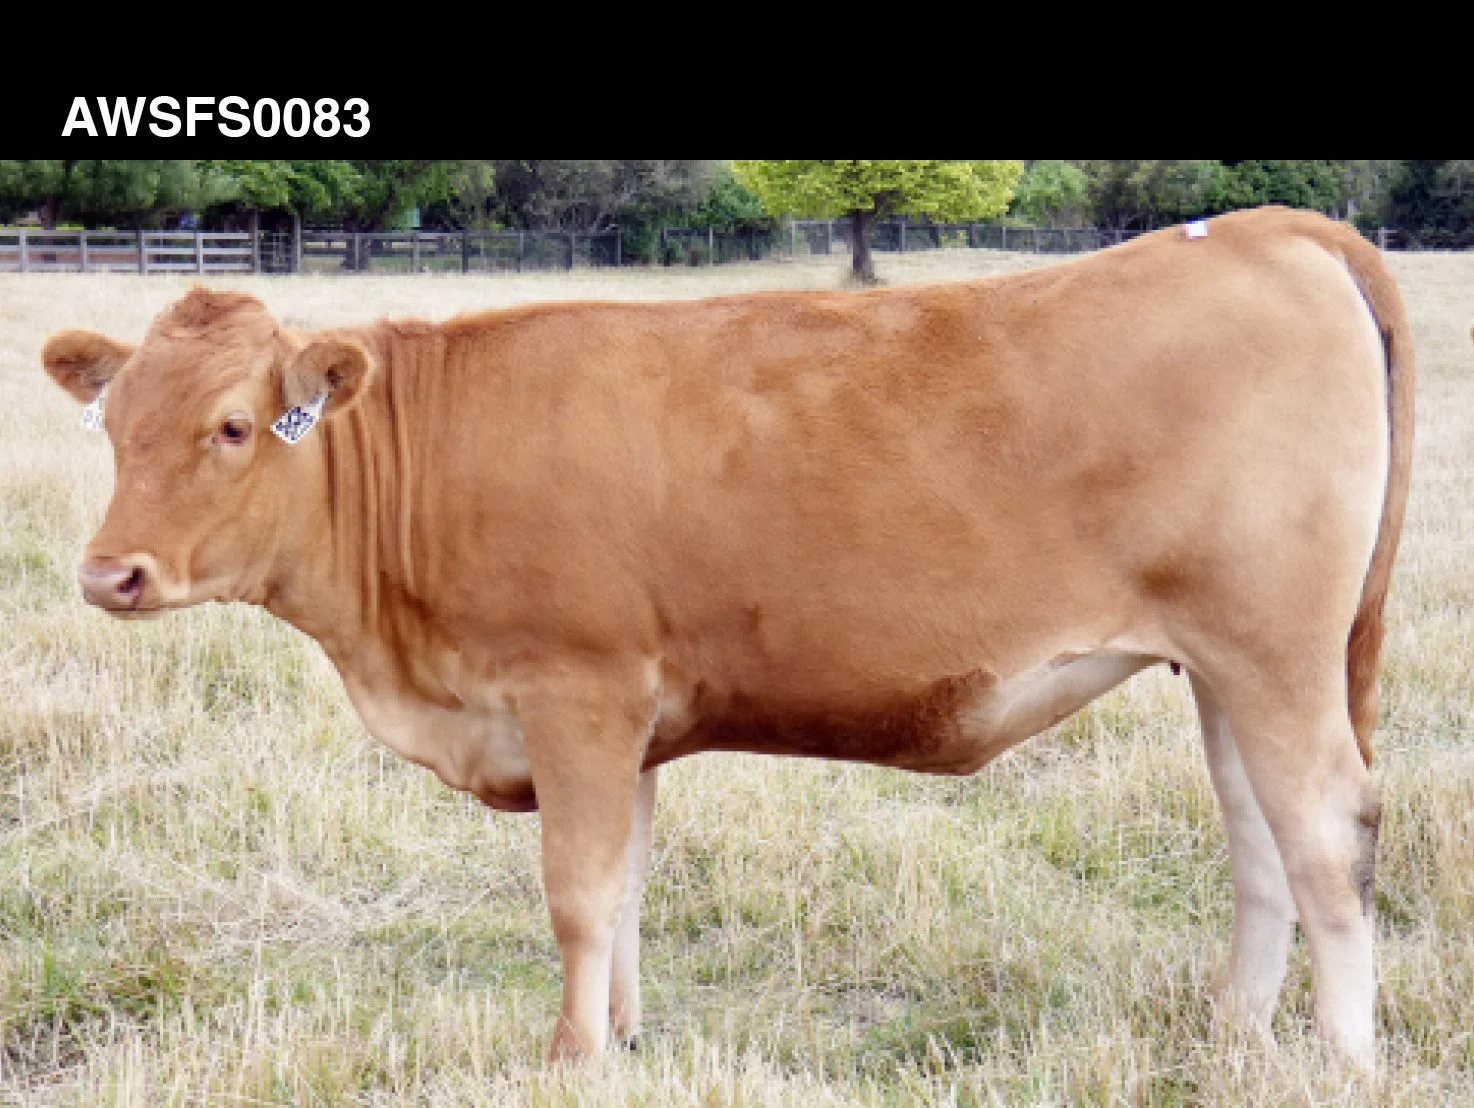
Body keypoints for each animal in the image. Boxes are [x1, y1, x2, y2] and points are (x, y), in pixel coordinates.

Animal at [41, 206, 1414, 1069]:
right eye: (111, 419)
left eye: (231, 426)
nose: (111, 572)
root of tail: (1267, 227)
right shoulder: (631, 724)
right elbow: (627, 889)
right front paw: (624, 1037)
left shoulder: (576, 693)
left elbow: (577, 895)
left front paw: (567, 1053)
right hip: (1224, 668)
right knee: (1258, 842)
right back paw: (1233, 1033)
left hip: (1277, 657)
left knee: (1327, 835)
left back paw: (1341, 1055)